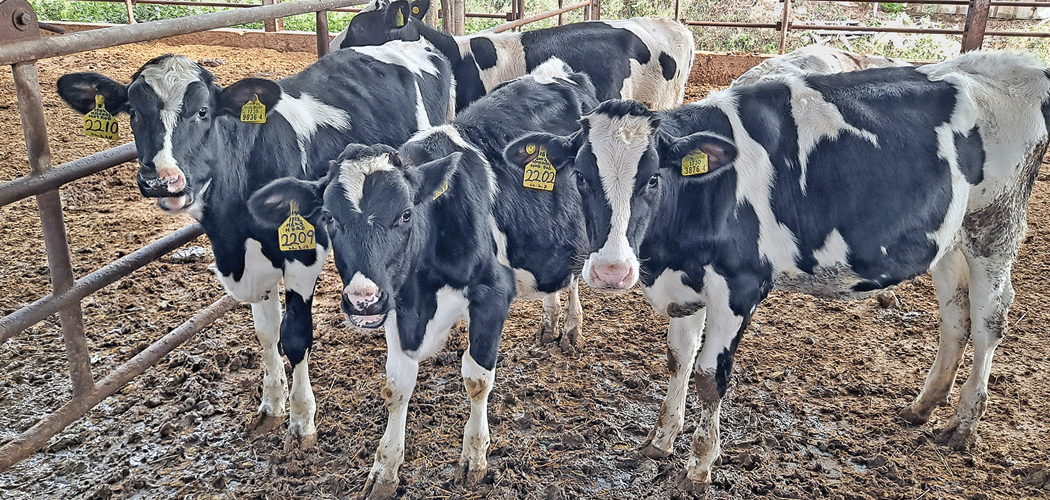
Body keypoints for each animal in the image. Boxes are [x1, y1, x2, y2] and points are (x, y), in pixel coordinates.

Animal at [56, 42, 454, 448]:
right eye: (133, 111)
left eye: (203, 111)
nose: (162, 179)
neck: (231, 227)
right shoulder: (252, 263)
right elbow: (266, 333)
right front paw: (271, 405)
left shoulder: (302, 255)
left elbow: (294, 335)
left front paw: (301, 419)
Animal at [247, 64, 597, 498]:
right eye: (329, 217)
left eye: (406, 214)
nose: (362, 299)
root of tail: (559, 72)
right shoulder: (396, 301)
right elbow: (396, 386)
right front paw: (385, 469)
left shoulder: (492, 294)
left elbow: (477, 379)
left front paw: (474, 458)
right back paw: (550, 322)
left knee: (574, 274)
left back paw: (571, 328)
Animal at [504, 50, 1050, 492]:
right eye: (580, 177)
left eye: (653, 178)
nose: (612, 270)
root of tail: (1018, 63)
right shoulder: (685, 285)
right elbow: (678, 360)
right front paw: (659, 441)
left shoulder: (740, 285)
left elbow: (709, 376)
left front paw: (699, 468)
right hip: (948, 241)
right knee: (956, 315)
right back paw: (922, 406)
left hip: (994, 227)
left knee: (990, 319)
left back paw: (964, 425)